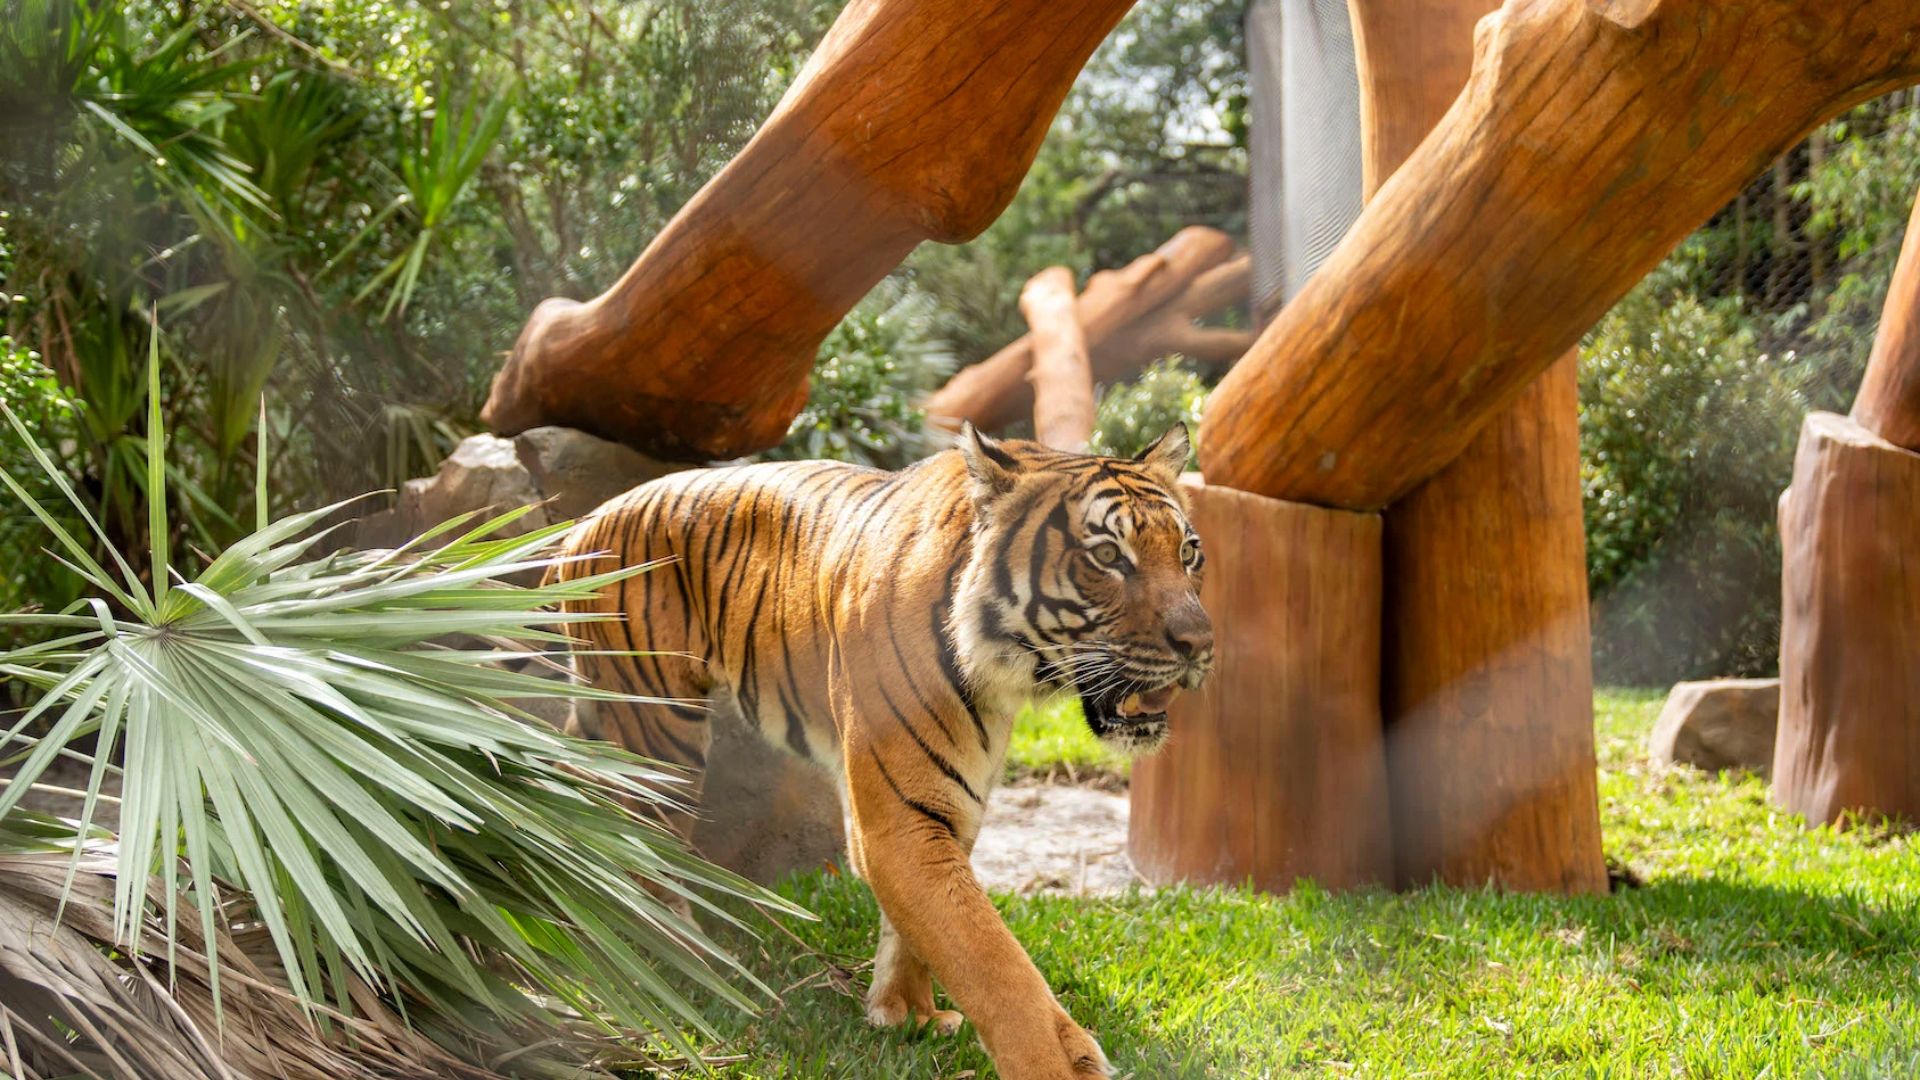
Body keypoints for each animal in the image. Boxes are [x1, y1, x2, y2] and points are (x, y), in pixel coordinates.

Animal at [553, 423, 1214, 1080]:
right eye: (1107, 556)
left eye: (1188, 552)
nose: (1201, 643)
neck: (1004, 670)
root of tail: (583, 524)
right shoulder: (898, 819)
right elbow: (990, 958)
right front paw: (1052, 1065)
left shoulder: (949, 802)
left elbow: (926, 929)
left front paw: (907, 1014)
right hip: (657, 731)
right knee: (646, 849)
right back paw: (686, 956)